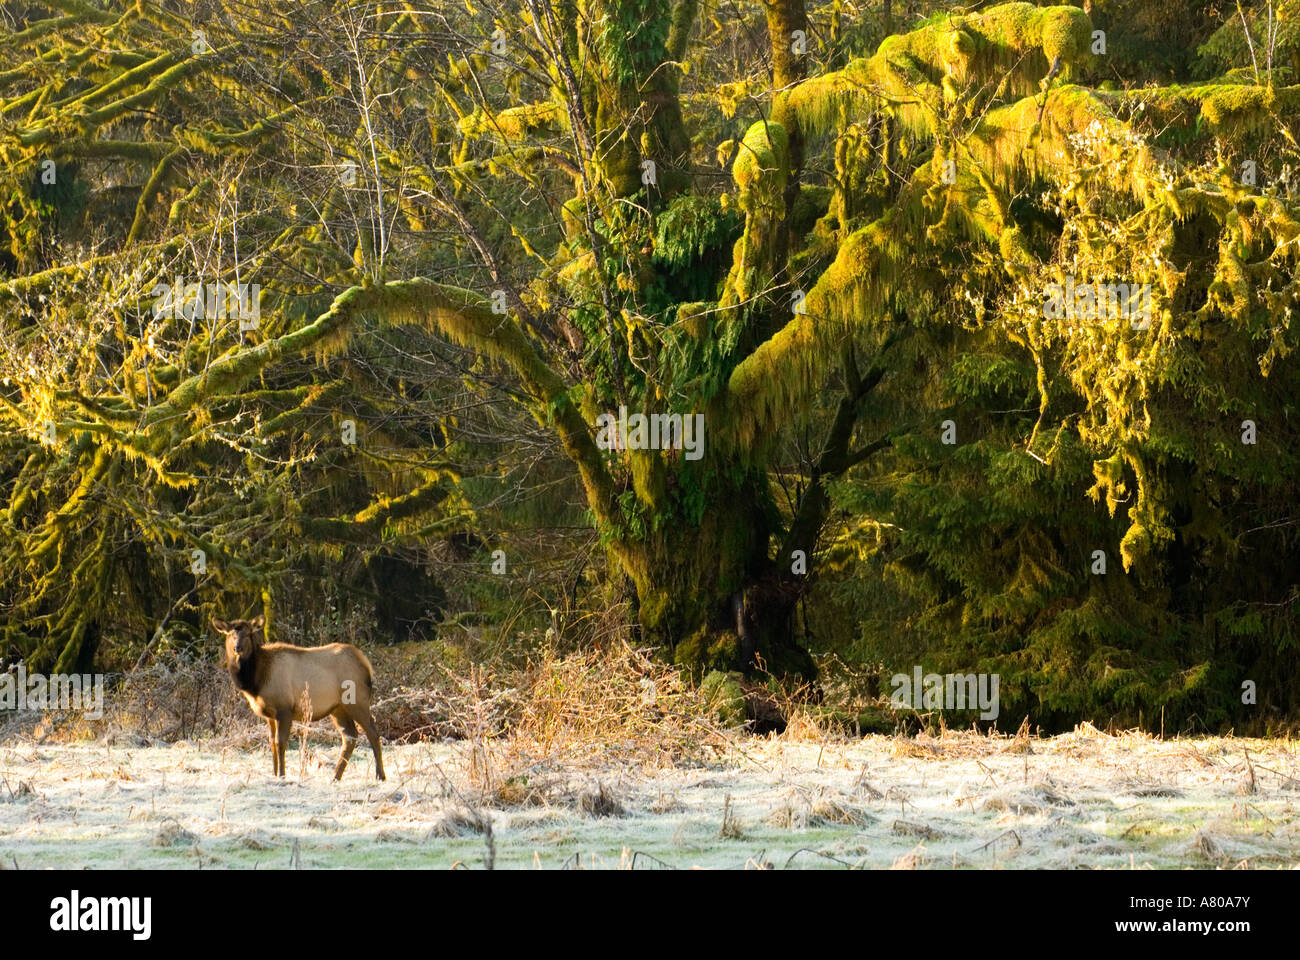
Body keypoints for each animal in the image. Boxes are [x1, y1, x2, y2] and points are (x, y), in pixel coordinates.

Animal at [212, 615, 385, 781]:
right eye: (230, 634)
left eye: (248, 634)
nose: (237, 648)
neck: (256, 682)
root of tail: (367, 665)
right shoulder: (269, 715)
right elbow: (271, 743)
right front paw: (274, 774)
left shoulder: (284, 709)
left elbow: (280, 743)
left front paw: (282, 775)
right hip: (338, 708)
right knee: (350, 737)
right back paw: (335, 777)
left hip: (357, 701)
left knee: (373, 733)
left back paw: (380, 775)